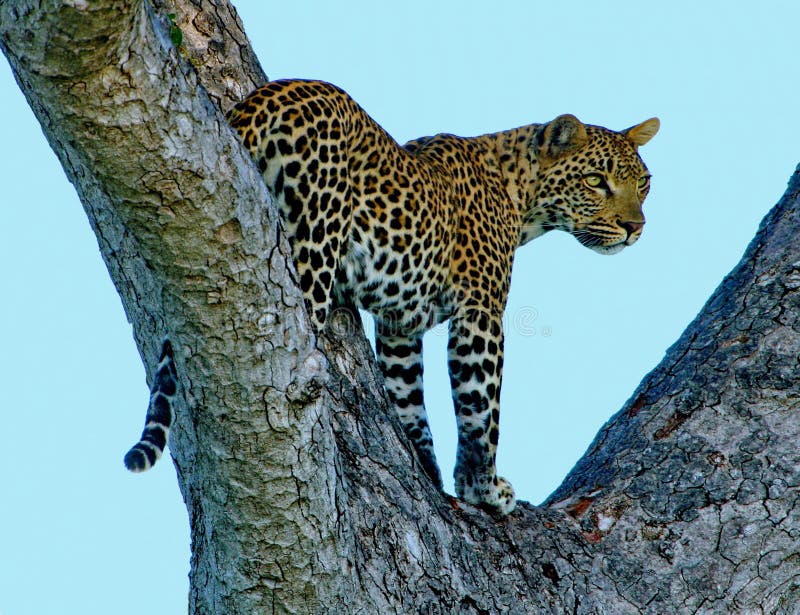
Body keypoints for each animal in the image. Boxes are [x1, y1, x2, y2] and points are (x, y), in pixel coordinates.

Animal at [124, 79, 658, 516]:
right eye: (596, 181)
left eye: (644, 184)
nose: (635, 228)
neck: (521, 195)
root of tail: (270, 96)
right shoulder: (481, 313)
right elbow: (481, 410)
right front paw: (484, 489)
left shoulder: (400, 323)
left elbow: (409, 398)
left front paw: (430, 470)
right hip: (313, 244)